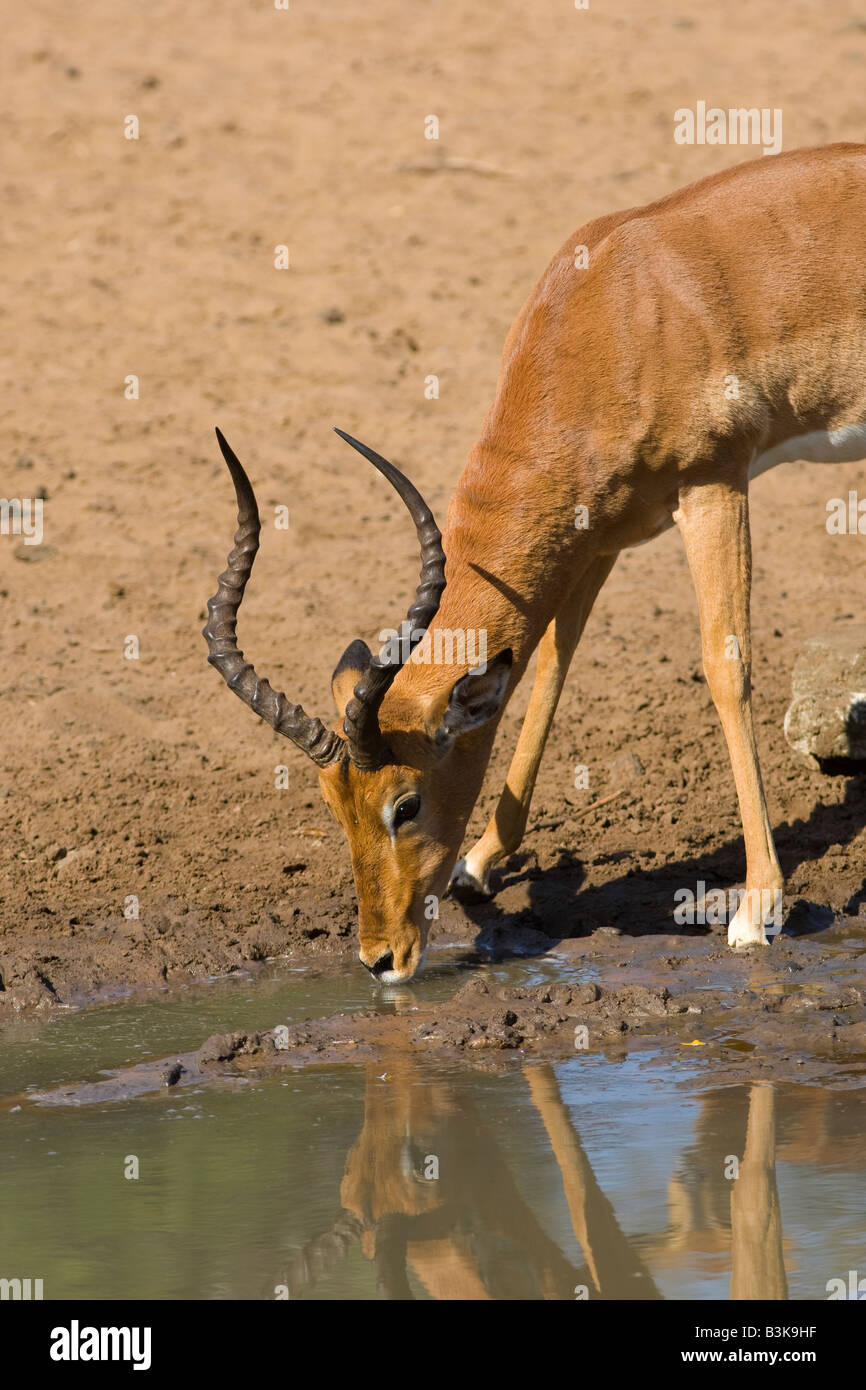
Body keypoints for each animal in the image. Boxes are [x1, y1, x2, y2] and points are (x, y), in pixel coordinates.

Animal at [205, 142, 866, 983]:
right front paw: (480, 862)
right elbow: (550, 664)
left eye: (405, 803)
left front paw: (758, 909)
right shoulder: (598, 532)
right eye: (331, 804)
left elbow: (726, 667)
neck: (619, 309)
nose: (380, 958)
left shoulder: (714, 483)